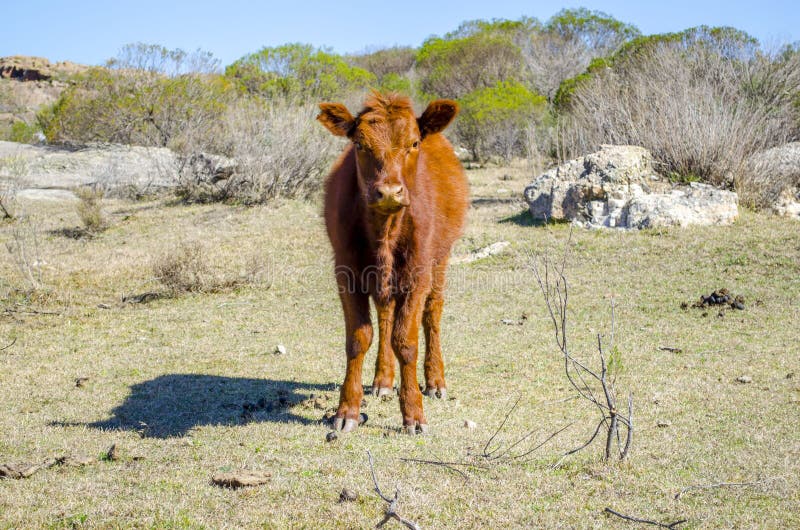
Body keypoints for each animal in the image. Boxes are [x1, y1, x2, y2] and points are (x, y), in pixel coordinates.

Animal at [317, 92, 469, 434]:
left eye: (413, 143)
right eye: (359, 145)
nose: (389, 192)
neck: (385, 231)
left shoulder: (418, 273)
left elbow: (406, 340)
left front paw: (413, 413)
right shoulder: (346, 272)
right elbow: (359, 338)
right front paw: (347, 410)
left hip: (441, 259)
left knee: (432, 314)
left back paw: (435, 380)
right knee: (385, 314)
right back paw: (383, 380)